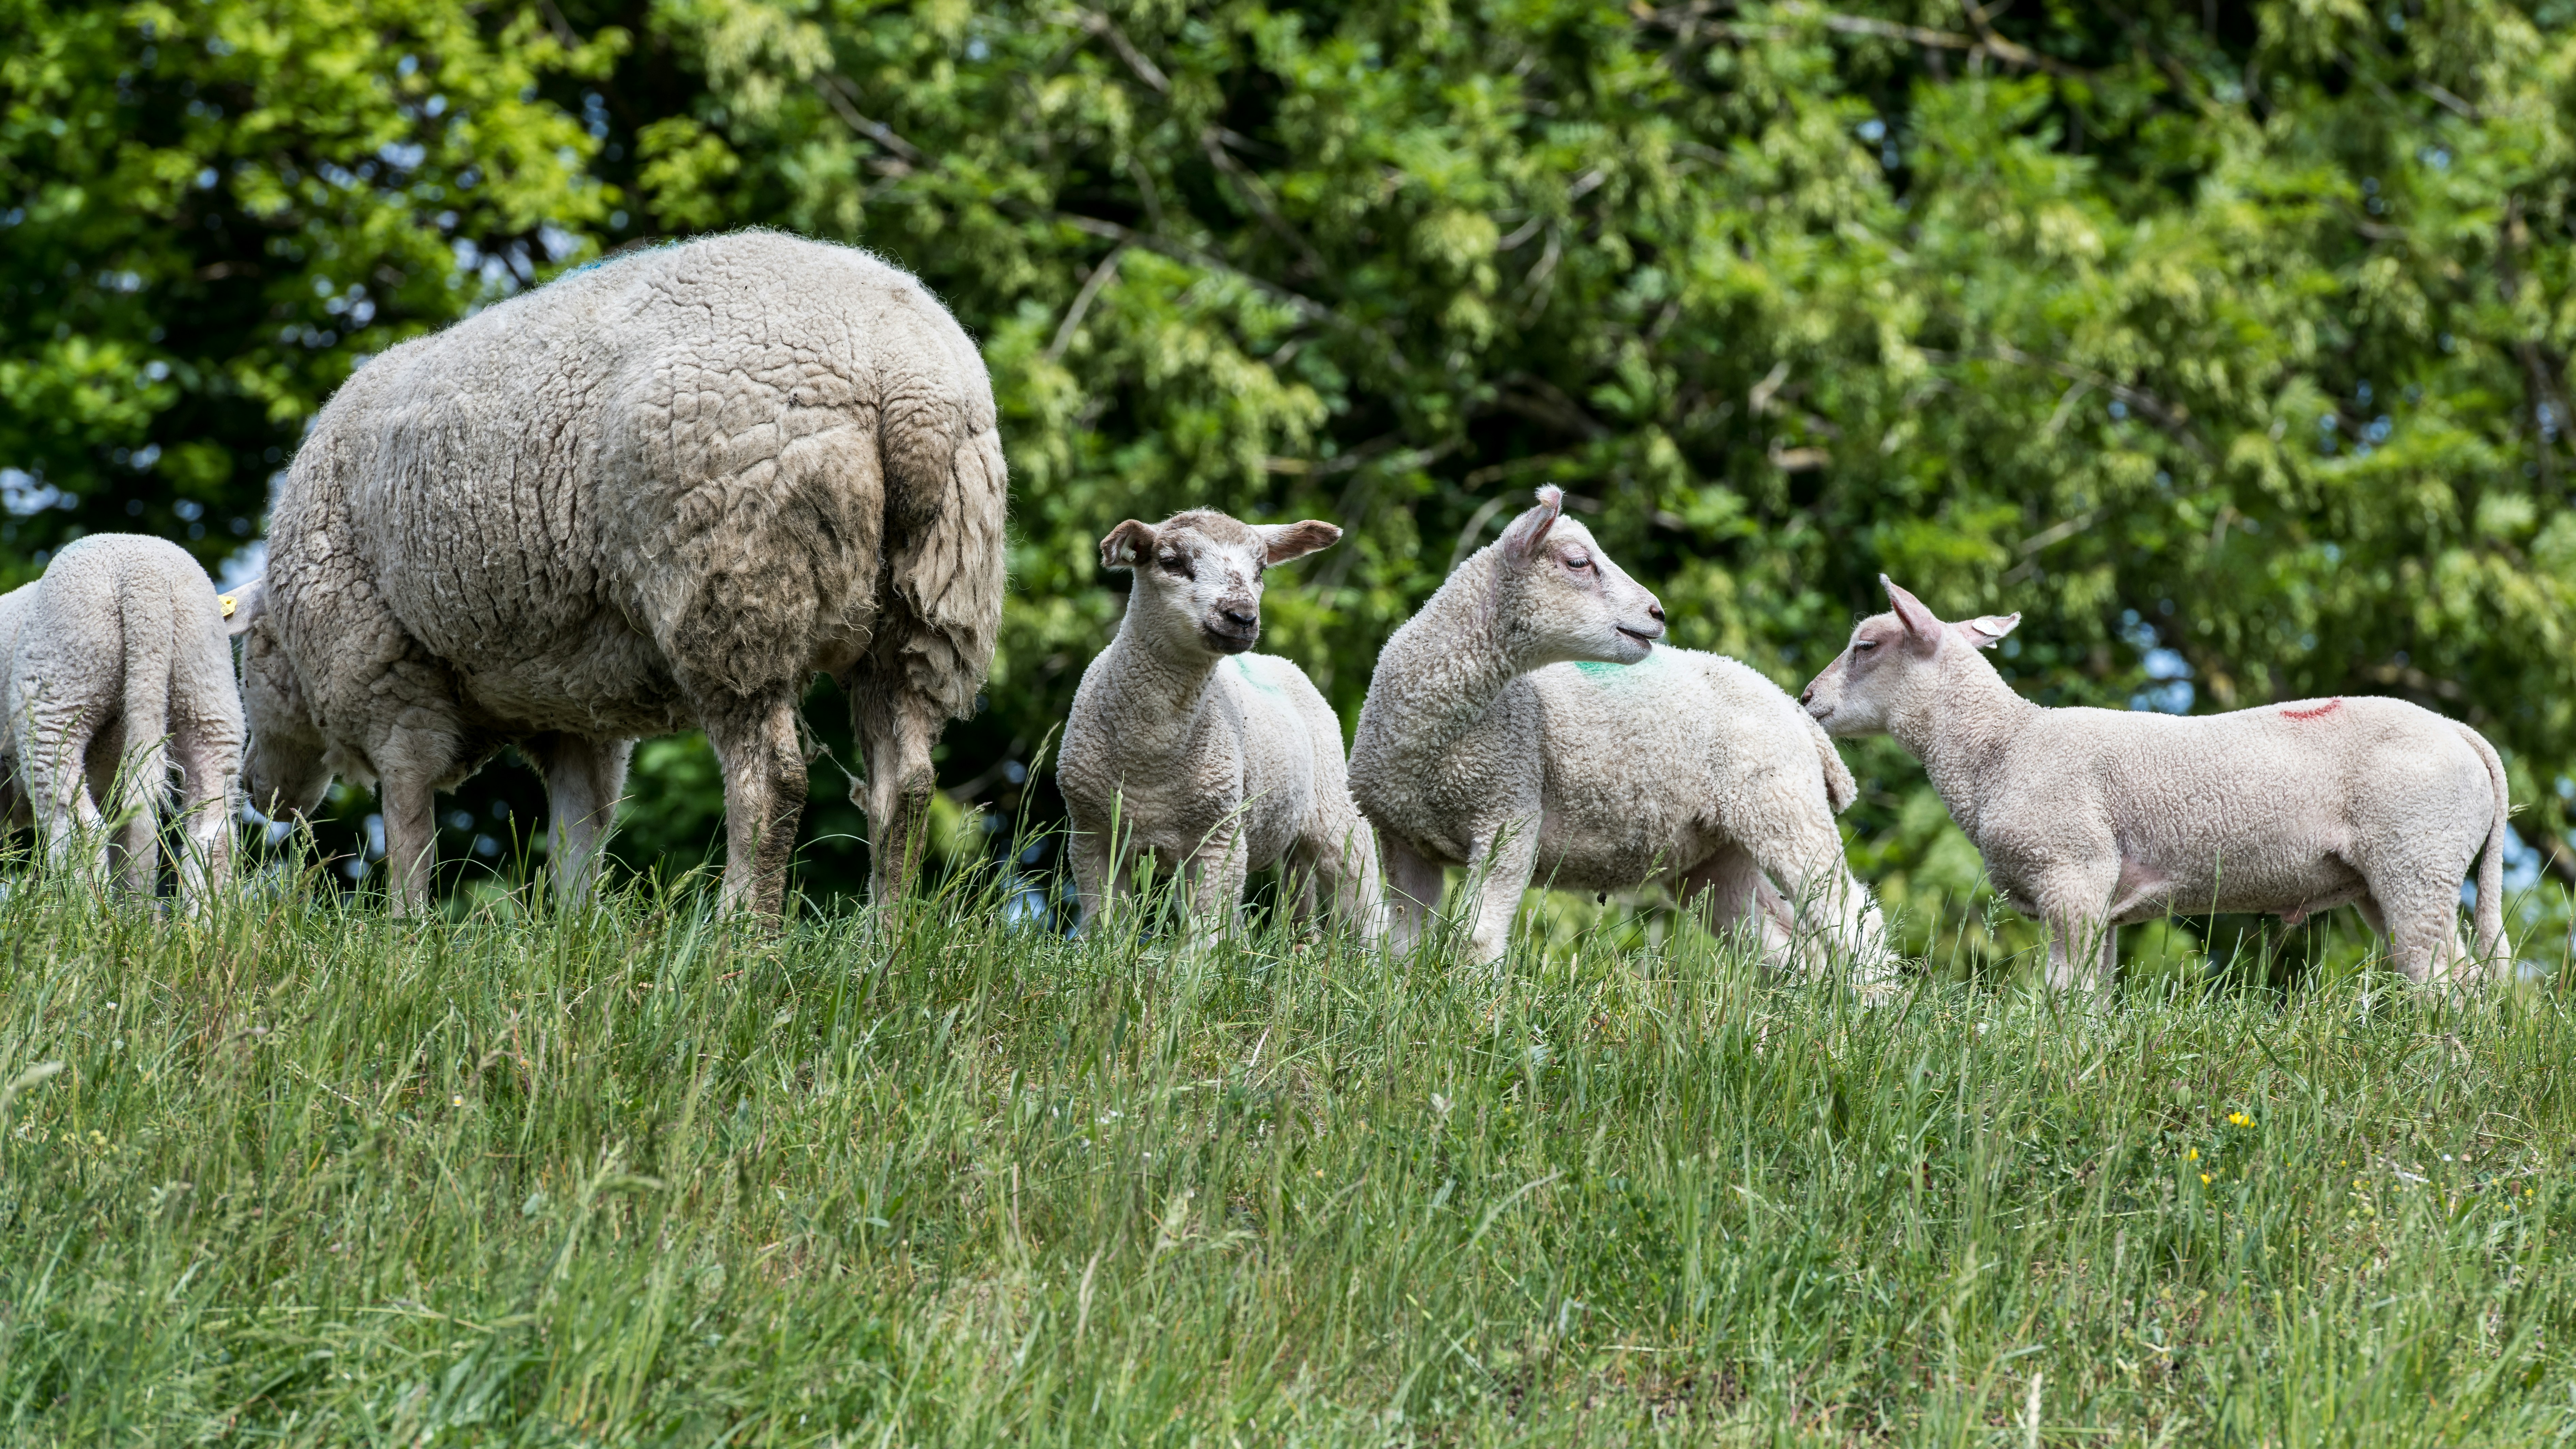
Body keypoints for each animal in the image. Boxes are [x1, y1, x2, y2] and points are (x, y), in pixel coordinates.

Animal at [0, 534, 243, 902]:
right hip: (207, 689)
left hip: (60, 690)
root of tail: (143, 574)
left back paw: (86, 913)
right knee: (212, 838)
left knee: (81, 830)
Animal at [238, 230, 1007, 916]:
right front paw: (573, 934)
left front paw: (406, 932)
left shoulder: (385, 679)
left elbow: (408, 827)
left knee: (770, 783)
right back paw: (884, 940)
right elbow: (578, 834)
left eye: (246, 658)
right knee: (904, 785)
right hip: (931, 600)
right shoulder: (575, 710)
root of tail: (901, 378)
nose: (256, 791)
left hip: (736, 578)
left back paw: (738, 938)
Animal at [1056, 508, 1380, 940]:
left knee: (1361, 891)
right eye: (1171, 562)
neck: (1150, 758)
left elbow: (1208, 930)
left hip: (1333, 806)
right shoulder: (1092, 834)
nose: (1242, 617)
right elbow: (1105, 920)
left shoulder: (1220, 835)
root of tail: (1280, 662)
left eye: (1260, 569)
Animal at [1348, 486, 1892, 974]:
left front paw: (1473, 1001)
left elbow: (1477, 938)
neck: (1433, 738)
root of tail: (1794, 710)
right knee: (1782, 943)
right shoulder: (1403, 838)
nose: (1658, 613)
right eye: (1577, 562)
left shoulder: (1507, 815)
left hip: (1783, 806)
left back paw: (1872, 1005)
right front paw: (1400, 993)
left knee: (1852, 919)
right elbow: (1402, 942)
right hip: (1716, 855)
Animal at [1798, 576, 2515, 989]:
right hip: (2388, 875)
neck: (2001, 747)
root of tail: (2462, 733)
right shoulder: (2102, 893)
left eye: (1866, 645)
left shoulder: (2070, 870)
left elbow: (2063, 992)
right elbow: (2092, 991)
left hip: (2415, 855)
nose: (1806, 698)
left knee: (2449, 980)